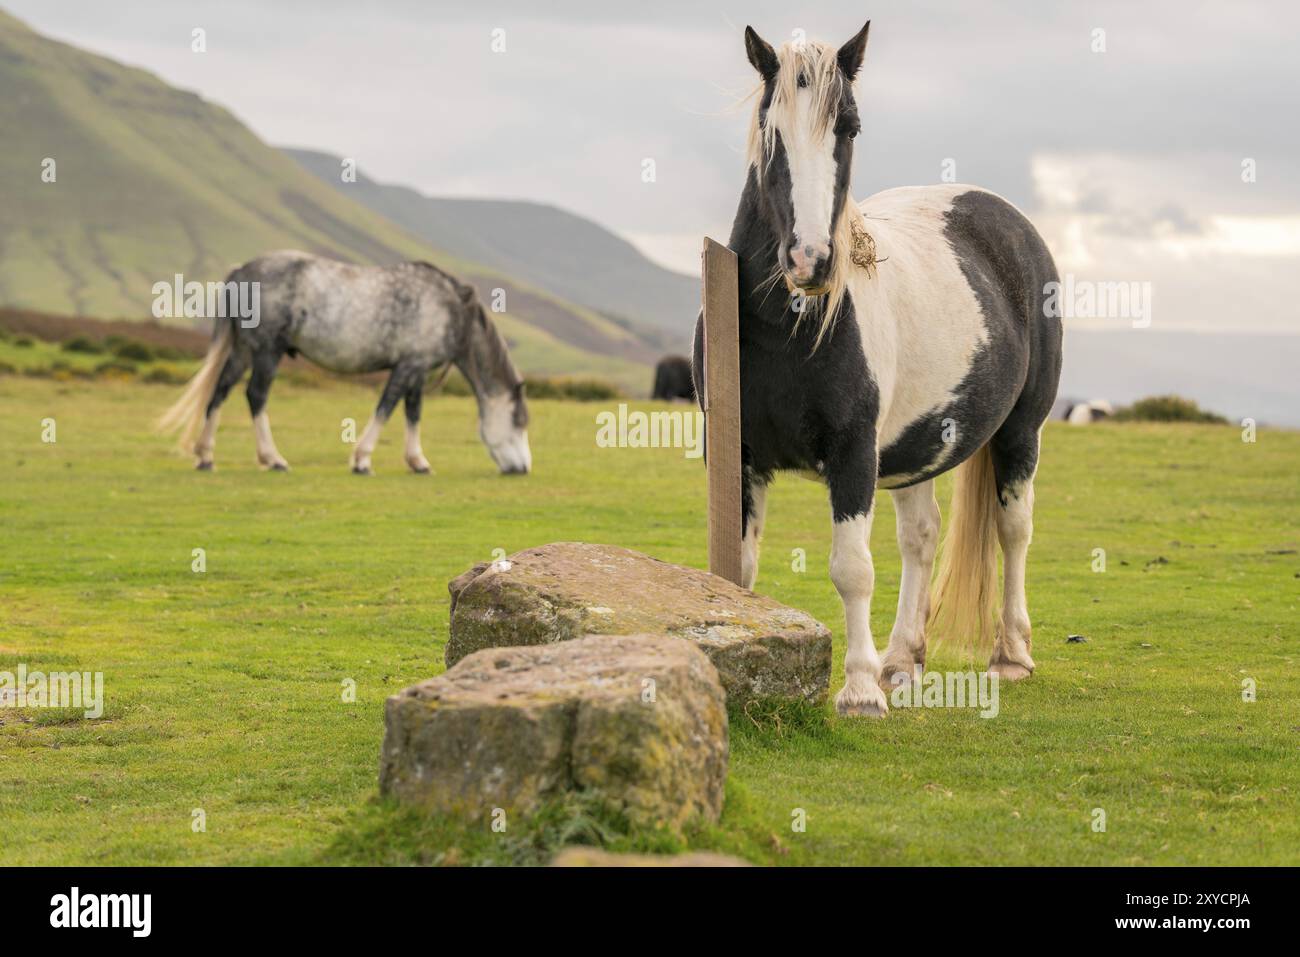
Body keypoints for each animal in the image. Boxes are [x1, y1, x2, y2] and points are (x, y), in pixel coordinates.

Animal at [158, 251, 532, 476]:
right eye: (519, 421)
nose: (523, 467)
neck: (449, 310)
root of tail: (241, 271)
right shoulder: (408, 367)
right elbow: (387, 407)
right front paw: (362, 460)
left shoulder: (417, 370)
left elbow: (413, 413)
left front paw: (417, 461)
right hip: (266, 351)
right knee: (256, 396)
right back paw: (273, 458)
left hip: (243, 351)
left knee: (220, 391)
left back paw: (206, 455)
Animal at [692, 23, 1063, 717]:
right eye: (771, 126)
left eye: (851, 127)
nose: (810, 259)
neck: (788, 325)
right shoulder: (740, 456)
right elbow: (744, 569)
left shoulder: (853, 454)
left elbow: (852, 569)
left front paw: (860, 688)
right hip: (918, 444)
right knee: (922, 537)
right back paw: (902, 659)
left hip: (1020, 433)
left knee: (1014, 530)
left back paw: (1009, 654)